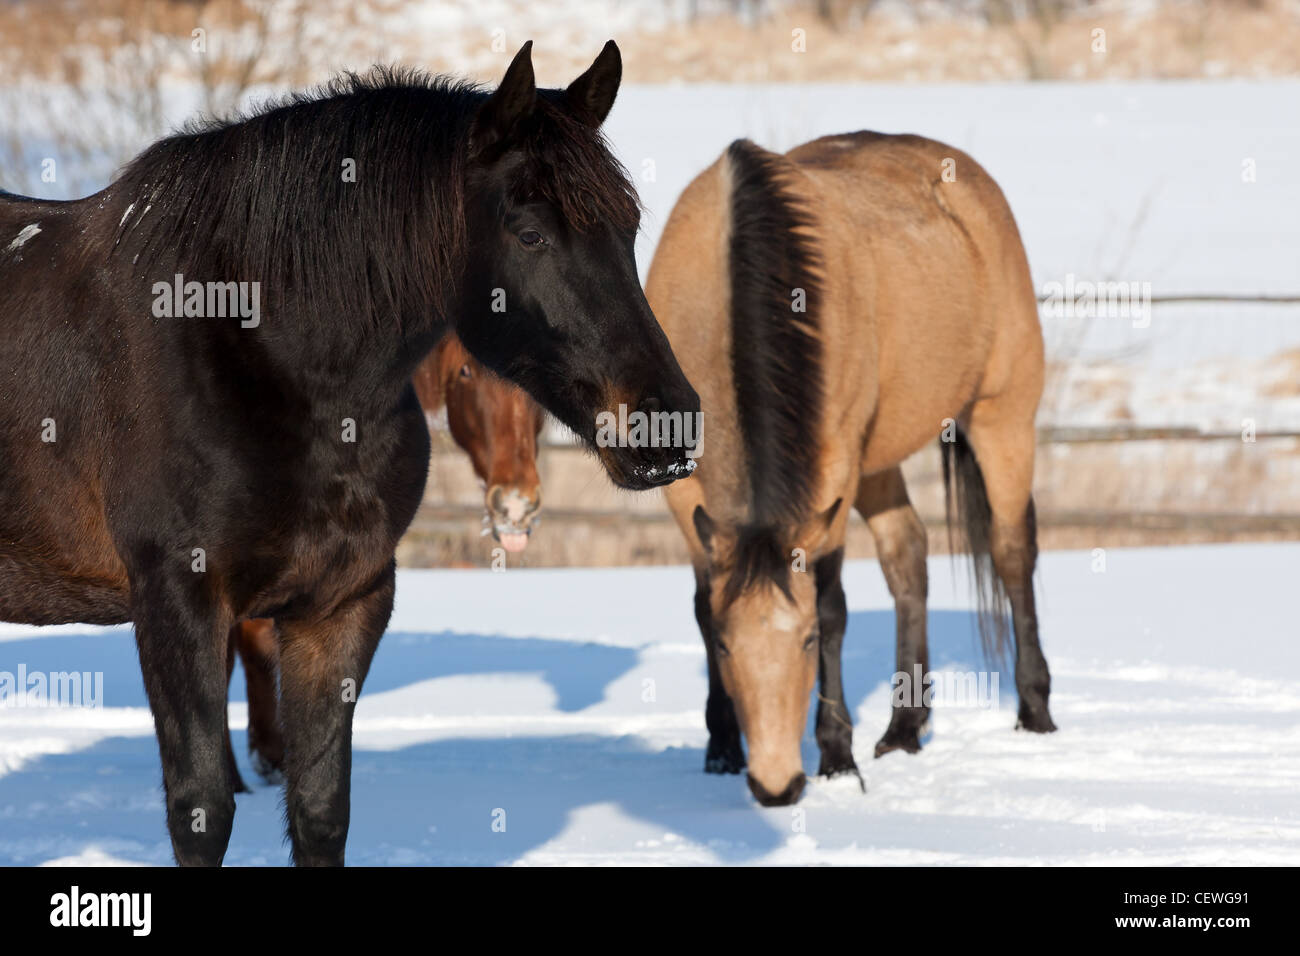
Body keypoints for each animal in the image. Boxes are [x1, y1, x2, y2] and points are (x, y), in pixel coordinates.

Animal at [646, 132, 1055, 807]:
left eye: (807, 641)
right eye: (729, 646)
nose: (777, 785)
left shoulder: (833, 467)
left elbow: (833, 603)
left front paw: (837, 757)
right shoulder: (685, 488)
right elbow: (704, 603)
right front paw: (721, 748)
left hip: (1002, 417)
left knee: (1011, 552)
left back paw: (1035, 712)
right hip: (877, 460)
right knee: (908, 554)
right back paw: (903, 729)